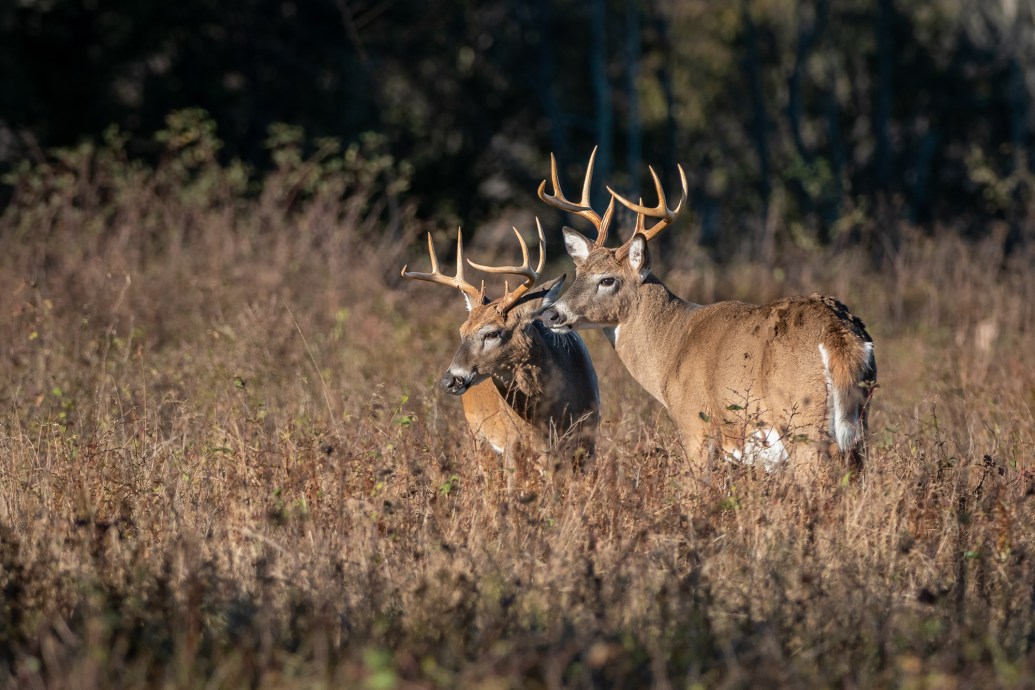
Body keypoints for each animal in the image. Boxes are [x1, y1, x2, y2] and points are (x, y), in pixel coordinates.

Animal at [401, 221, 600, 483]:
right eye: (461, 331)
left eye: (492, 333)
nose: (449, 380)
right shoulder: (513, 439)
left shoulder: (588, 437)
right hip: (477, 432)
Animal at [538, 149, 876, 473]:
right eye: (578, 273)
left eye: (607, 279)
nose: (551, 314)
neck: (671, 345)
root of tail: (836, 332)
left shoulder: (694, 424)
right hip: (859, 421)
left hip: (801, 417)